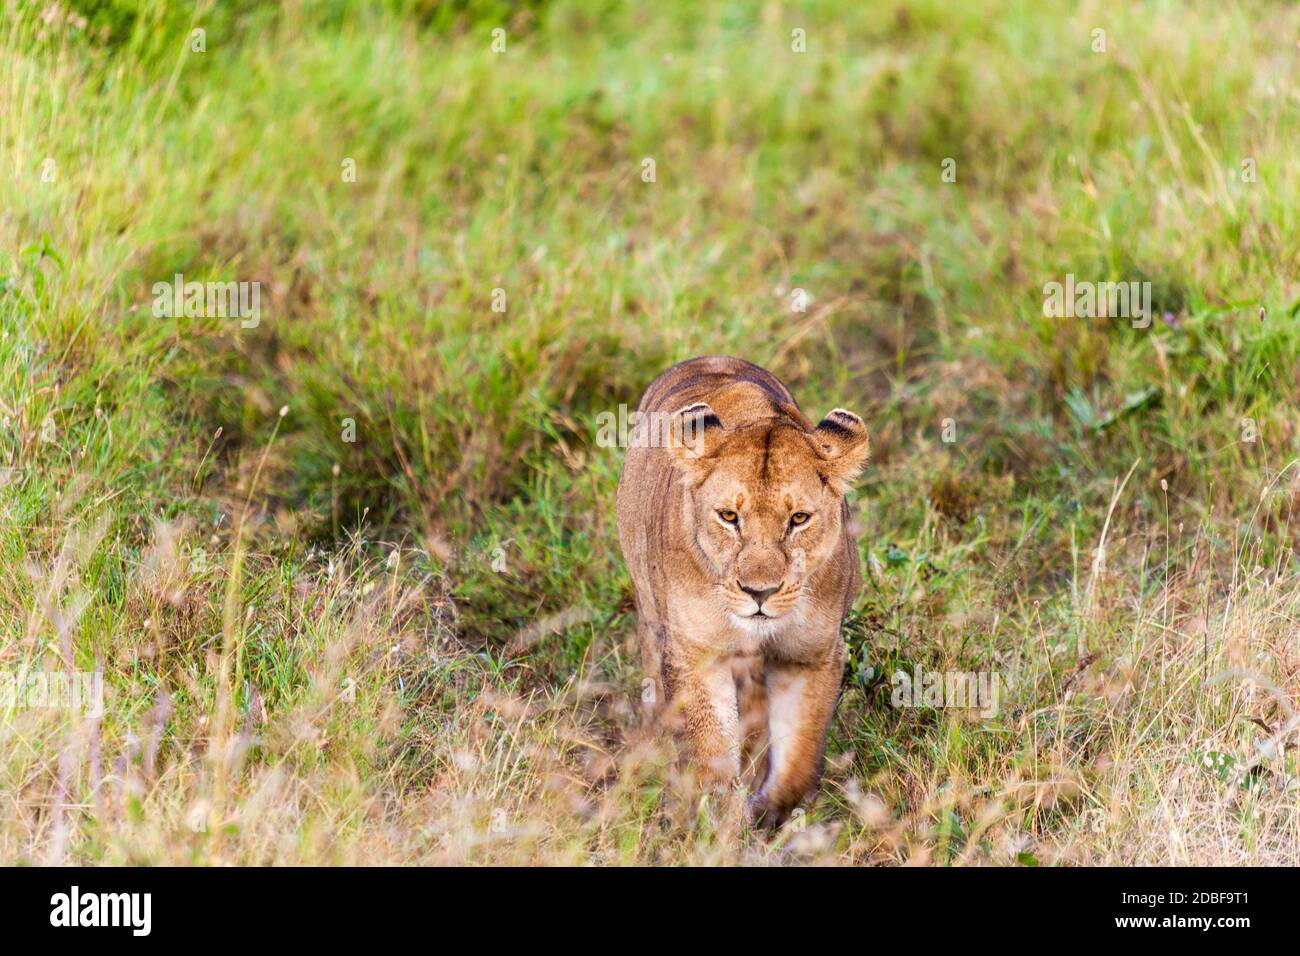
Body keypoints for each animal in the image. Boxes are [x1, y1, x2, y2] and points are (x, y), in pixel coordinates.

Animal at [616, 356, 868, 826]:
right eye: (728, 516)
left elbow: (798, 758)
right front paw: (722, 826)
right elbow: (711, 756)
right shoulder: (696, 654)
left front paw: (770, 813)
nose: (760, 592)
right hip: (652, 619)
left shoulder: (810, 655)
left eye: (799, 519)